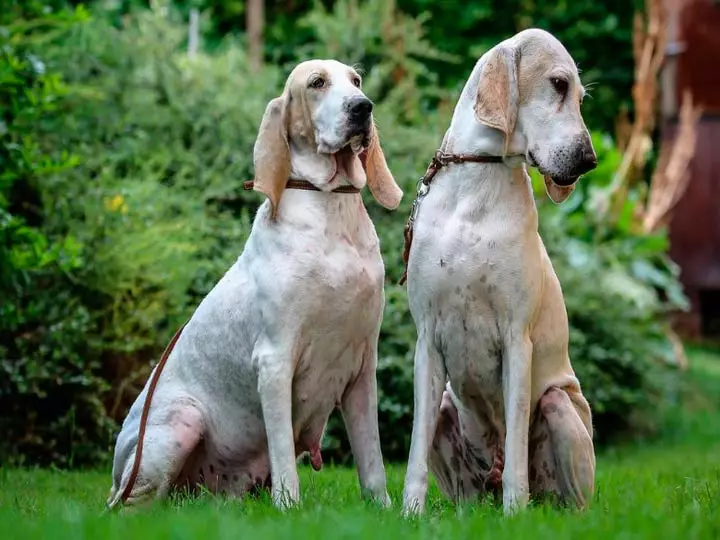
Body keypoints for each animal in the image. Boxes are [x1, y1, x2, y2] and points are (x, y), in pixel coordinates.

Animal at [107, 59, 402, 510]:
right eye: (317, 83)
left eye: (356, 81)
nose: (362, 108)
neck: (329, 208)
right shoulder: (275, 360)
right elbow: (283, 453)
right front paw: (290, 508)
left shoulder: (362, 368)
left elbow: (372, 462)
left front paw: (387, 512)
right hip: (180, 421)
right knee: (132, 502)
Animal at [402, 28, 600, 516]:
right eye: (558, 85)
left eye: (581, 97)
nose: (590, 160)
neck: (477, 182)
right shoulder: (426, 340)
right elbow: (414, 451)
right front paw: (409, 513)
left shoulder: (515, 339)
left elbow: (515, 451)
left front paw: (515, 513)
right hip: (448, 412)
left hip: (559, 406)